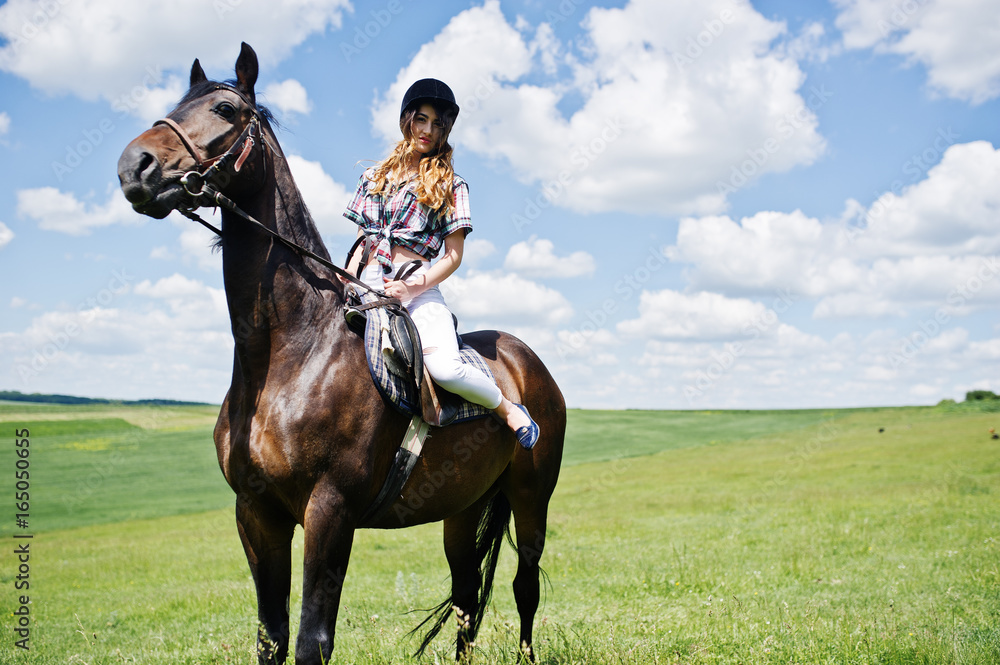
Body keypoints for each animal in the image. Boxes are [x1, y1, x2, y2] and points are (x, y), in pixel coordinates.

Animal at [116, 43, 565, 664]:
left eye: (225, 109)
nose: (134, 166)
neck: (292, 356)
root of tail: (527, 362)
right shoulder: (257, 514)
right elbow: (272, 636)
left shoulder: (330, 511)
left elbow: (312, 640)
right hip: (462, 507)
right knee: (466, 594)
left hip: (530, 497)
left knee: (523, 587)